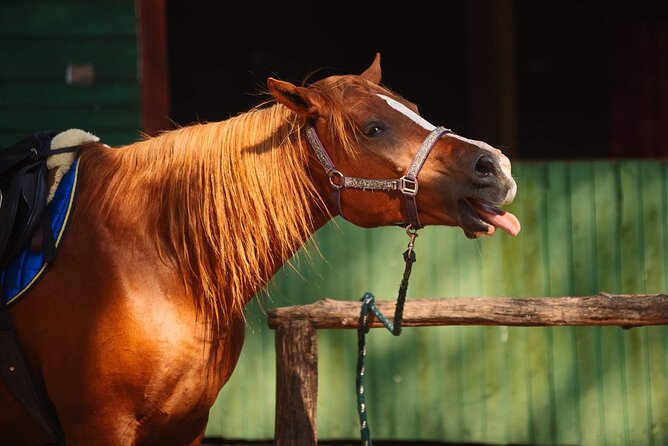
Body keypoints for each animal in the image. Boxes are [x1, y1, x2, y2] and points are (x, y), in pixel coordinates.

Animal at [0, 54, 519, 445]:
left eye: (411, 106)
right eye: (373, 128)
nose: (495, 167)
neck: (151, 259)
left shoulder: (187, 424)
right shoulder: (101, 426)